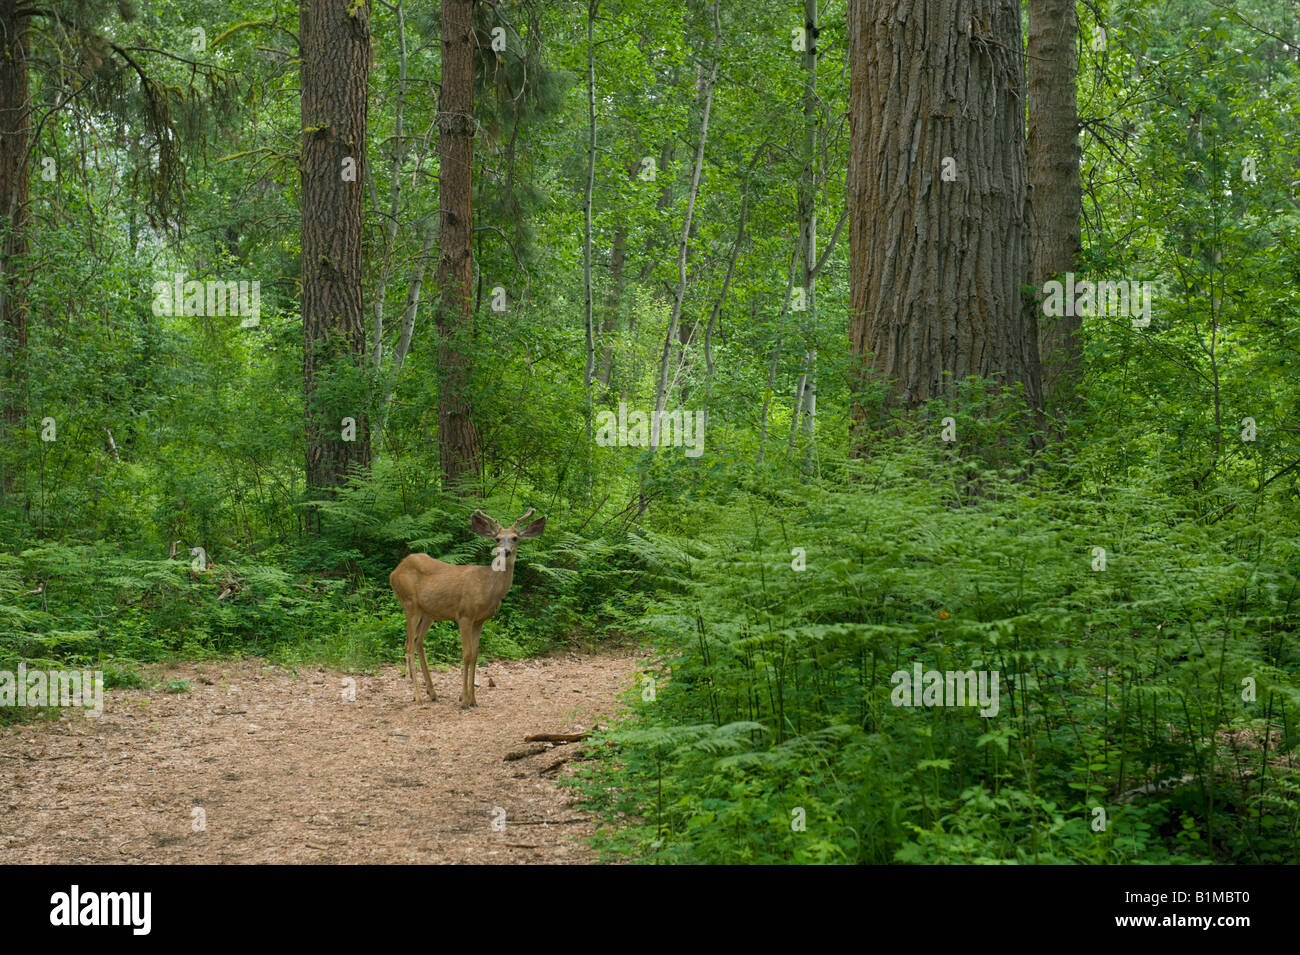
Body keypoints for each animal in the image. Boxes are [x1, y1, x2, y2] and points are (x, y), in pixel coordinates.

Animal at [390, 507, 546, 708]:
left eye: (515, 538)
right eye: (497, 538)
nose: (505, 552)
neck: (487, 587)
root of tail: (395, 572)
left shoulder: (479, 620)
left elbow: (475, 655)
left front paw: (473, 699)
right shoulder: (464, 615)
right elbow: (466, 654)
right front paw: (464, 700)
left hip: (428, 613)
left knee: (417, 642)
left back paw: (432, 692)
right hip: (409, 604)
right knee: (408, 645)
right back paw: (417, 696)